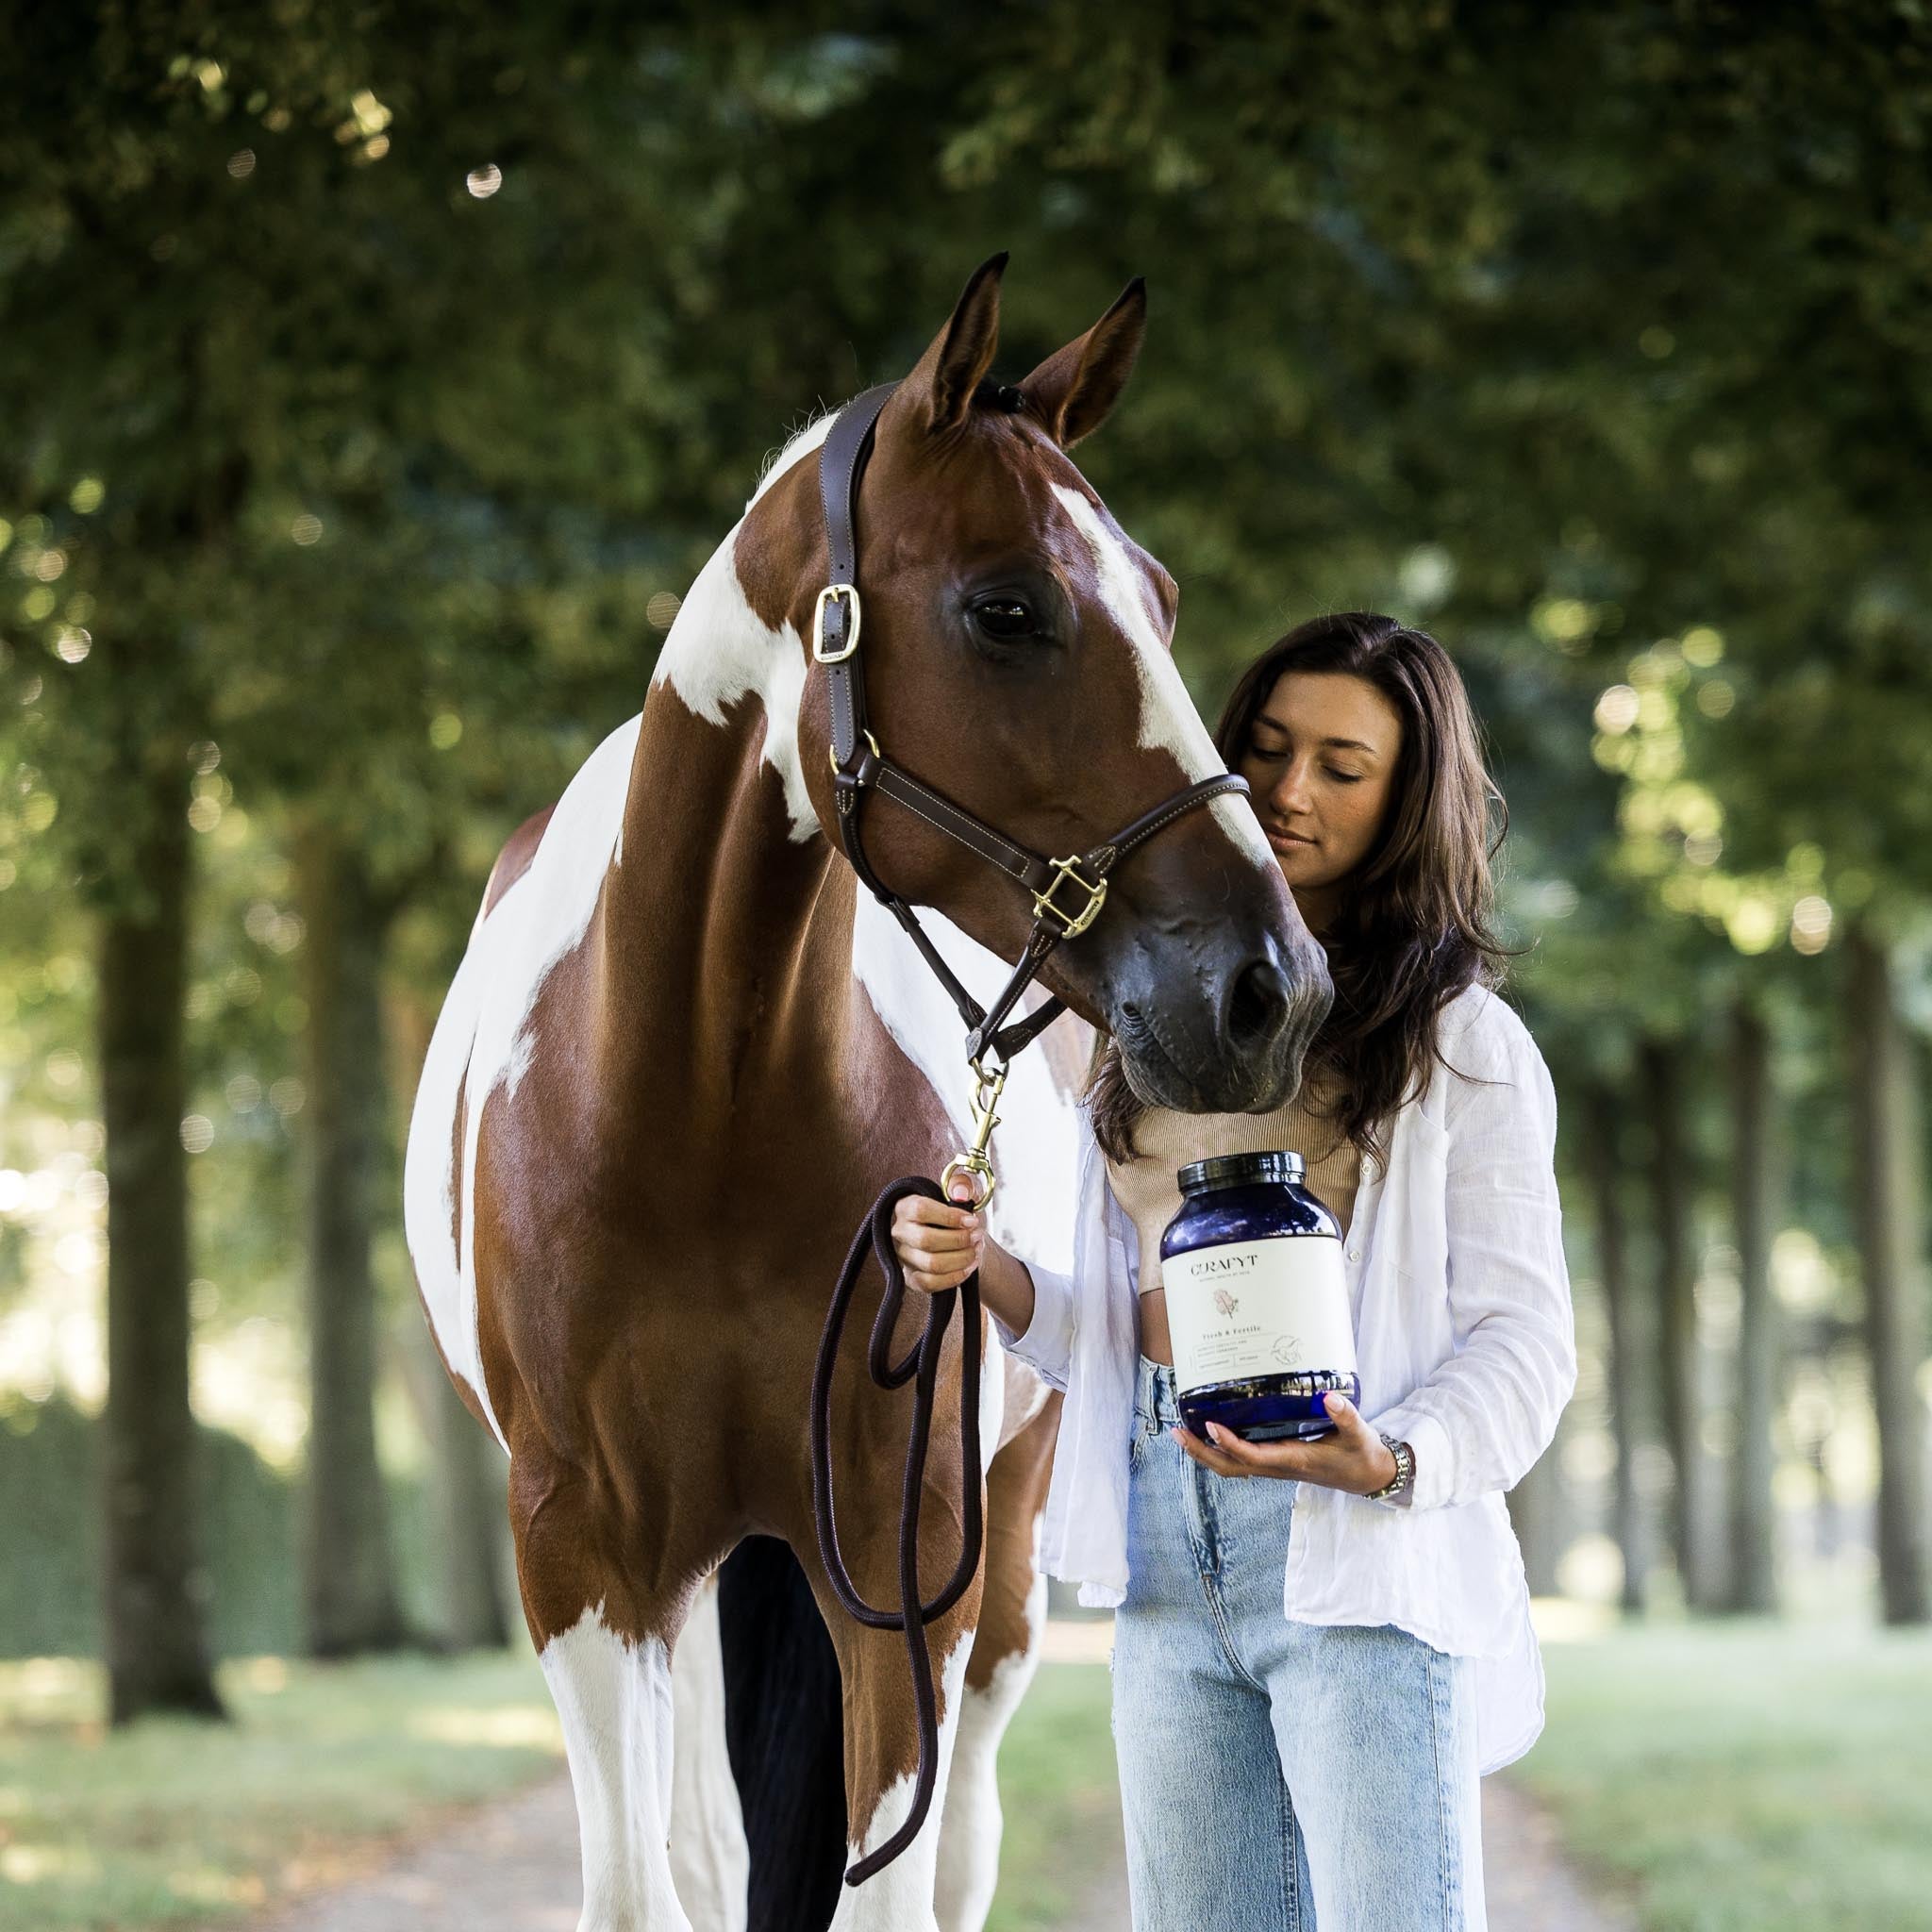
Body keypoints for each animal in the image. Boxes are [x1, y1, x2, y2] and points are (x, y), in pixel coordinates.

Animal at [403, 253, 1331, 1932]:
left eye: (1162, 599)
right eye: (1007, 608)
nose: (1271, 990)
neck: (698, 1103)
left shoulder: (909, 1564)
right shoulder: (582, 1558)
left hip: (999, 1565)